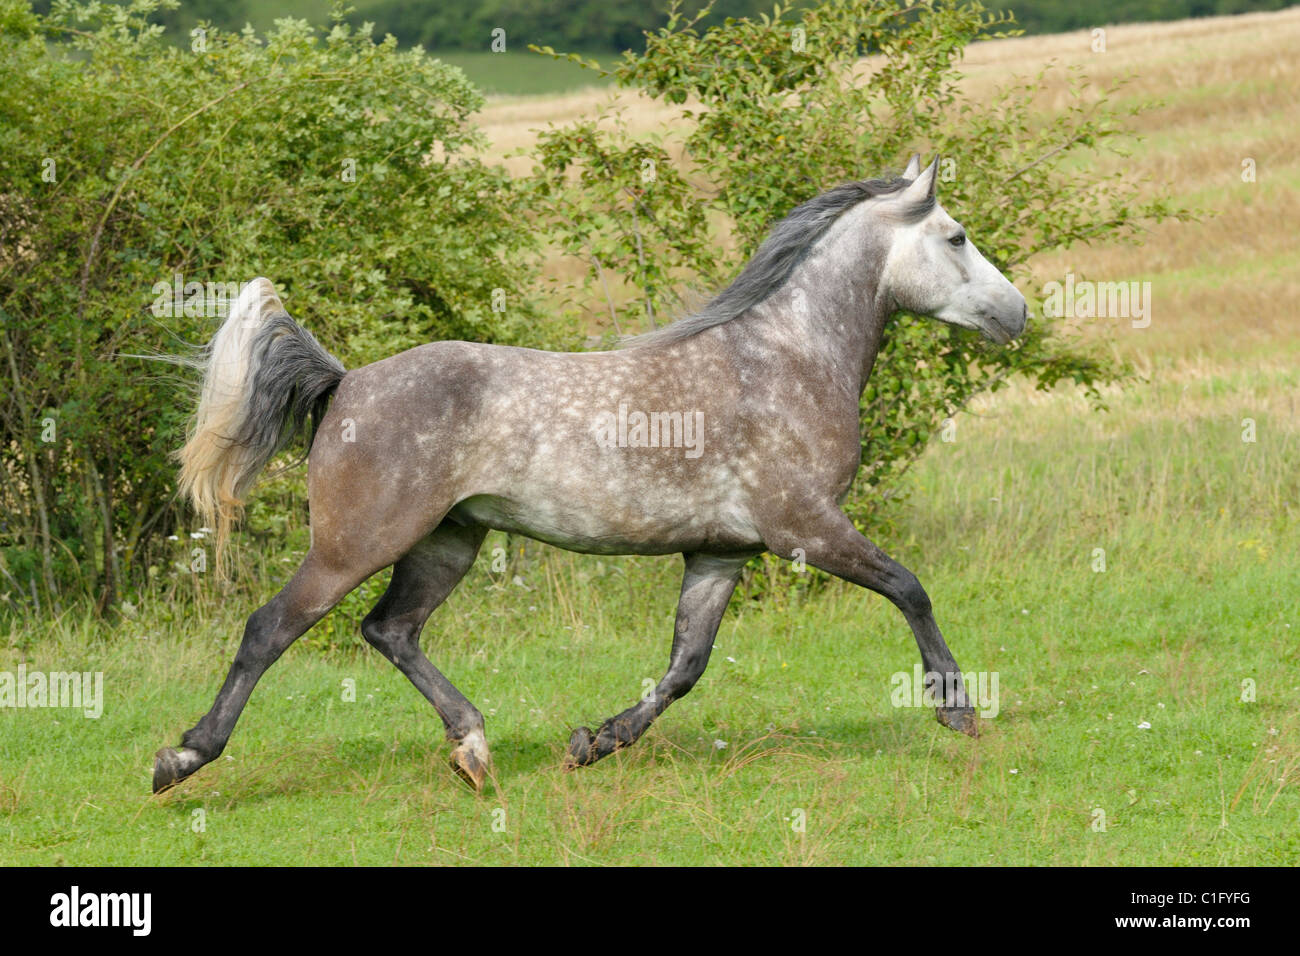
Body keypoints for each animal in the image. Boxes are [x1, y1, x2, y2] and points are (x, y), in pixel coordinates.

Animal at [152, 155, 1027, 793]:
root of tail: (346, 382)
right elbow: (910, 587)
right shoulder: (804, 528)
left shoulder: (722, 551)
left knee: (389, 630)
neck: (784, 358)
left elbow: (685, 666)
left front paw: (594, 742)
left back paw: (473, 750)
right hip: (354, 545)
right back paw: (183, 758)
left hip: (447, 542)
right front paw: (957, 709)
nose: (1017, 313)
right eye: (956, 237)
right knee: (270, 628)